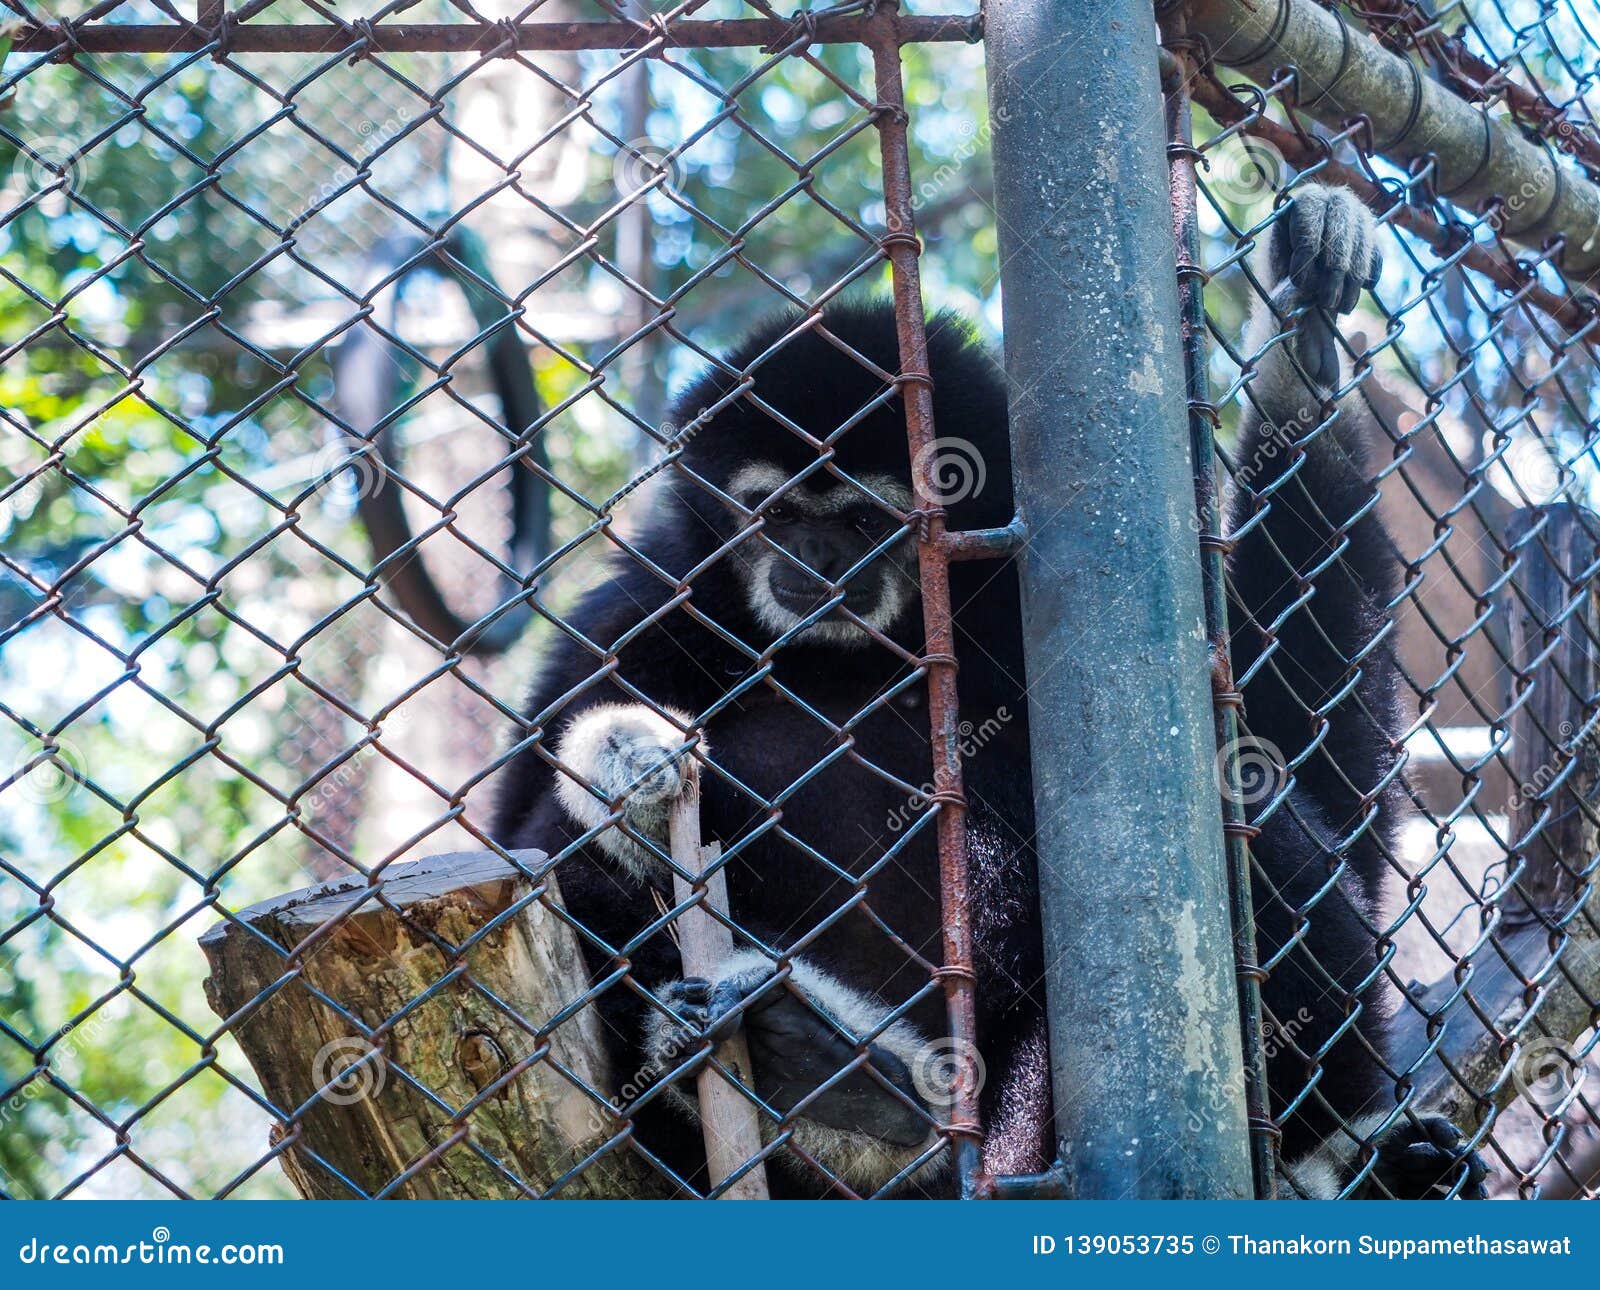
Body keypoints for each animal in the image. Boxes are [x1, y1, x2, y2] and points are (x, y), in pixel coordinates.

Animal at [489, 183, 1488, 1199]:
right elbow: (526, 826)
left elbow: (1292, 760)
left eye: (864, 519)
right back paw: (827, 1081)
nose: (813, 561)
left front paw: (1304, 337)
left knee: (1230, 799)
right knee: (567, 862)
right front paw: (624, 767)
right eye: (771, 511)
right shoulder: (644, 606)